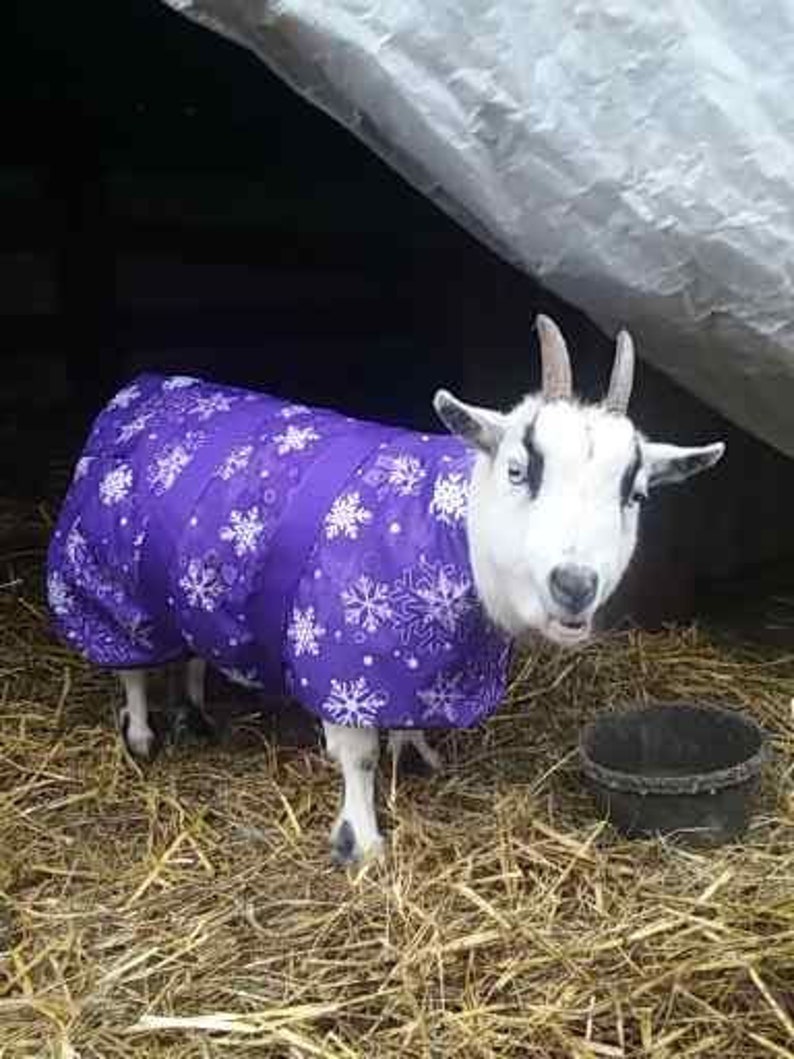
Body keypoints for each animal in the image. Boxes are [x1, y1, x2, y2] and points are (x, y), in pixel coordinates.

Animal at [47, 316, 724, 863]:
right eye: (517, 469)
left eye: (635, 494)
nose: (575, 584)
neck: (450, 532)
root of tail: (137, 392)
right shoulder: (344, 659)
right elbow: (359, 755)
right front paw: (363, 843)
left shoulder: (413, 663)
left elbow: (407, 716)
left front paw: (418, 753)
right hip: (110, 585)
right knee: (132, 667)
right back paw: (142, 735)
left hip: (182, 587)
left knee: (188, 649)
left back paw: (194, 712)